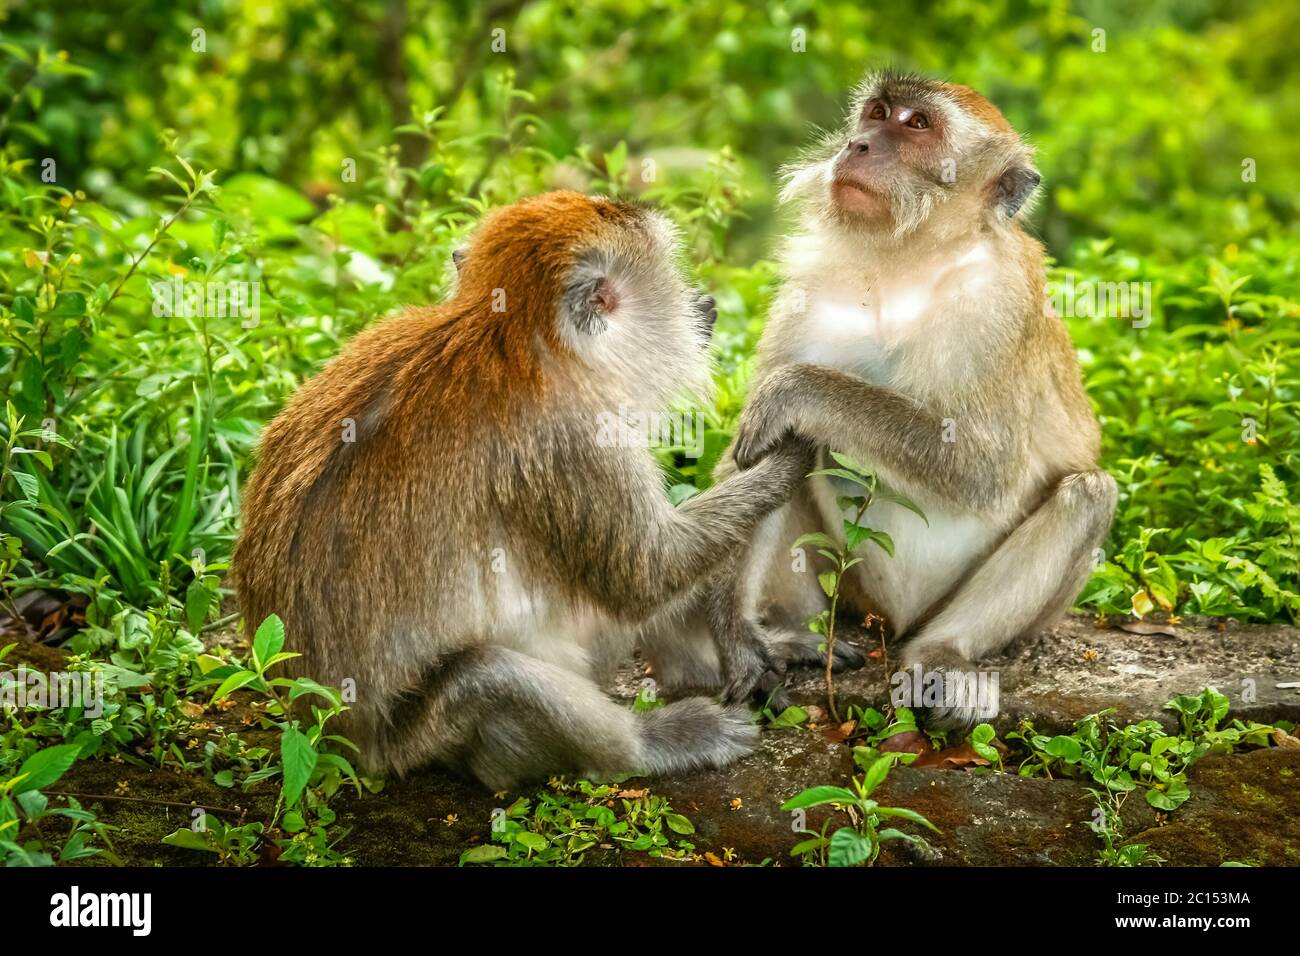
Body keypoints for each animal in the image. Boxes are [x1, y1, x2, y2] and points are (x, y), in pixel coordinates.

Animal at [231, 191, 816, 791]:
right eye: (674, 278)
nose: (704, 302)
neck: (512, 334)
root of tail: (334, 736)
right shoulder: (575, 435)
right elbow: (647, 572)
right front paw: (787, 459)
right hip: (421, 738)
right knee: (489, 675)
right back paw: (649, 746)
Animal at [647, 71, 1117, 729]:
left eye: (917, 124)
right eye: (876, 112)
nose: (859, 144)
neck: (904, 259)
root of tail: (893, 623)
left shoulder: (999, 303)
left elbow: (984, 469)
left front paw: (796, 389)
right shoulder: (808, 278)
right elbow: (750, 456)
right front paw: (737, 640)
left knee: (1086, 495)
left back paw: (941, 653)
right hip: (851, 595)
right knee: (793, 456)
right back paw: (786, 638)